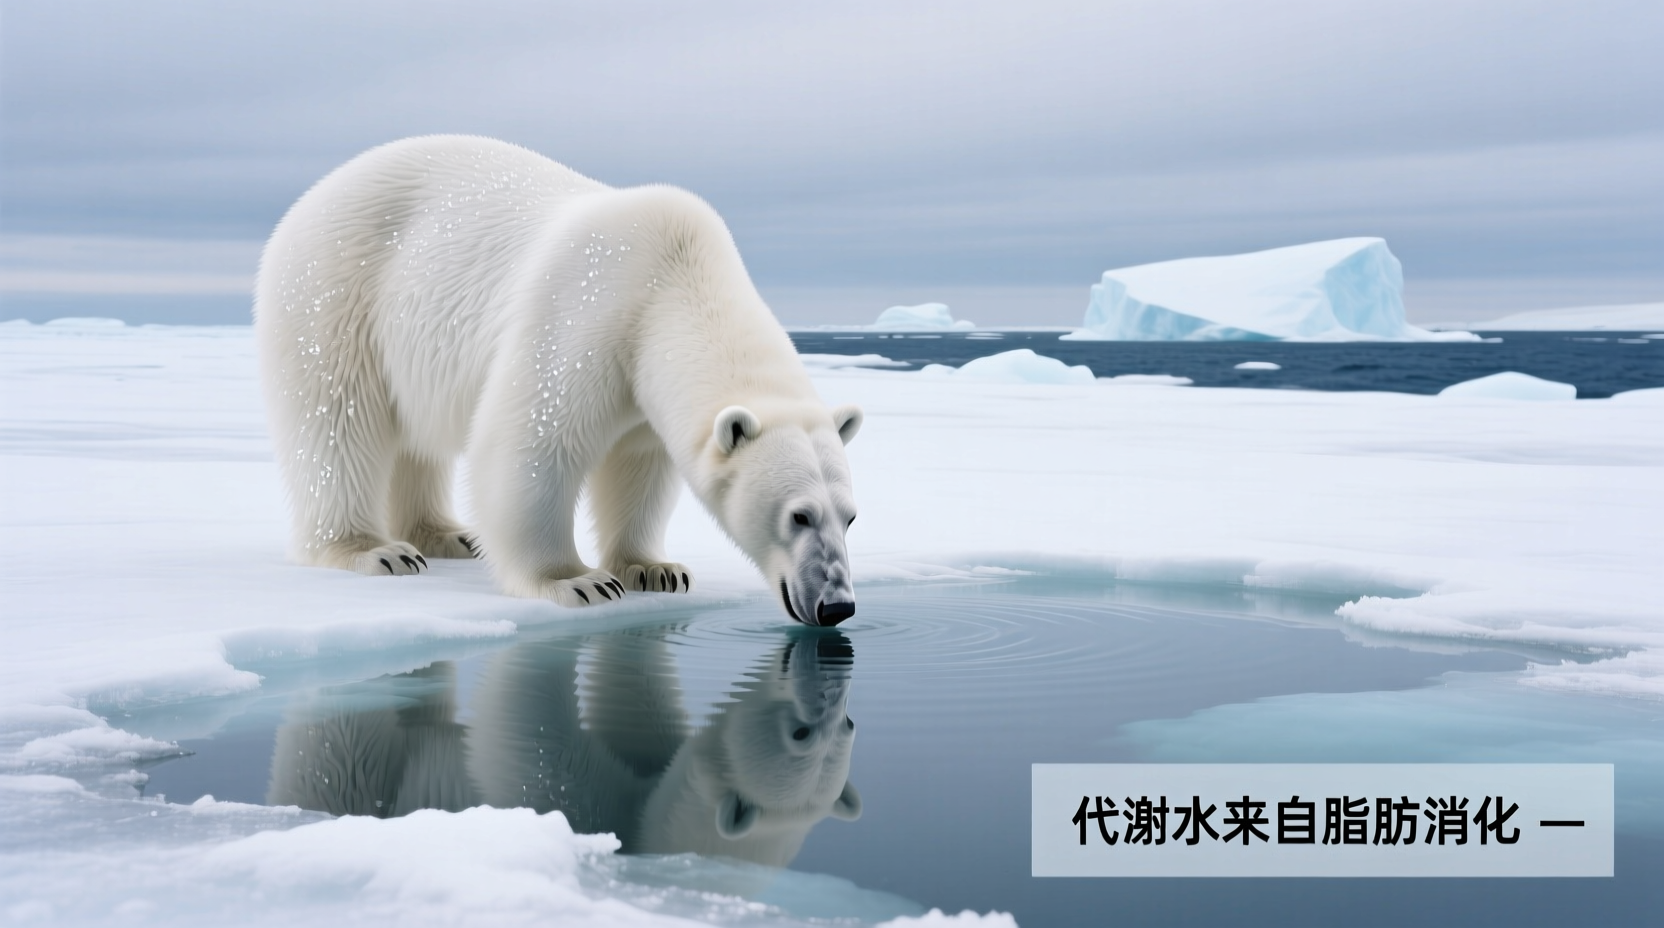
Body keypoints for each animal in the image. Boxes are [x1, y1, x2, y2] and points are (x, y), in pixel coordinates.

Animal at [254, 135, 861, 624]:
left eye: (851, 517)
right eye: (799, 515)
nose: (837, 606)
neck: (673, 277)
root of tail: (314, 194)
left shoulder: (640, 386)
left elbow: (638, 468)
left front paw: (656, 569)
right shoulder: (586, 314)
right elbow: (532, 445)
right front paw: (578, 581)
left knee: (416, 439)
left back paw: (449, 535)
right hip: (335, 293)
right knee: (338, 422)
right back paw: (375, 549)